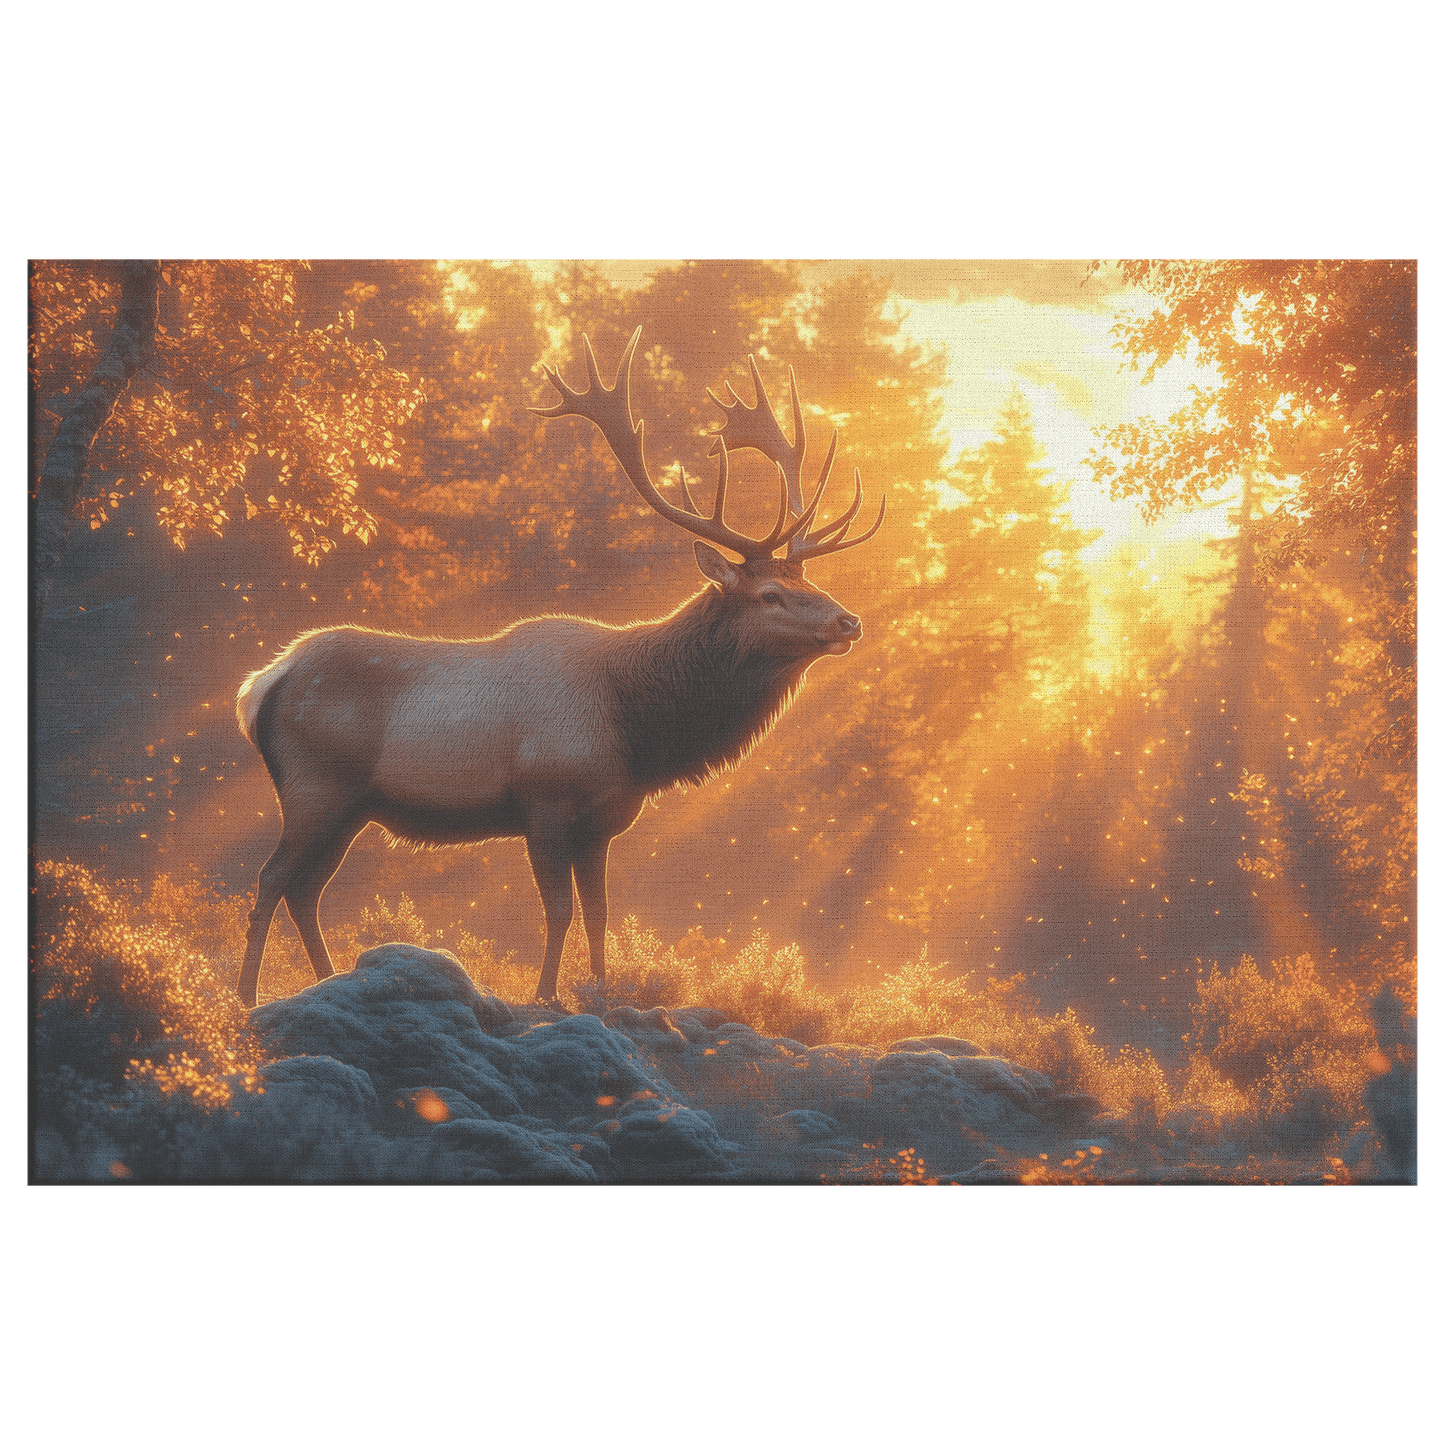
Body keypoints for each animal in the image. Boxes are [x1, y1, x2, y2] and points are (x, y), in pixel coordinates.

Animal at [233, 327, 883, 1009]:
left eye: (807, 581)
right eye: (770, 595)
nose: (849, 622)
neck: (637, 731)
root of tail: (260, 685)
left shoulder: (602, 820)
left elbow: (598, 912)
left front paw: (601, 991)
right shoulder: (543, 799)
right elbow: (558, 910)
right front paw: (546, 995)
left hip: (349, 804)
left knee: (306, 889)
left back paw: (326, 980)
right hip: (315, 784)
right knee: (272, 878)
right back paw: (247, 997)